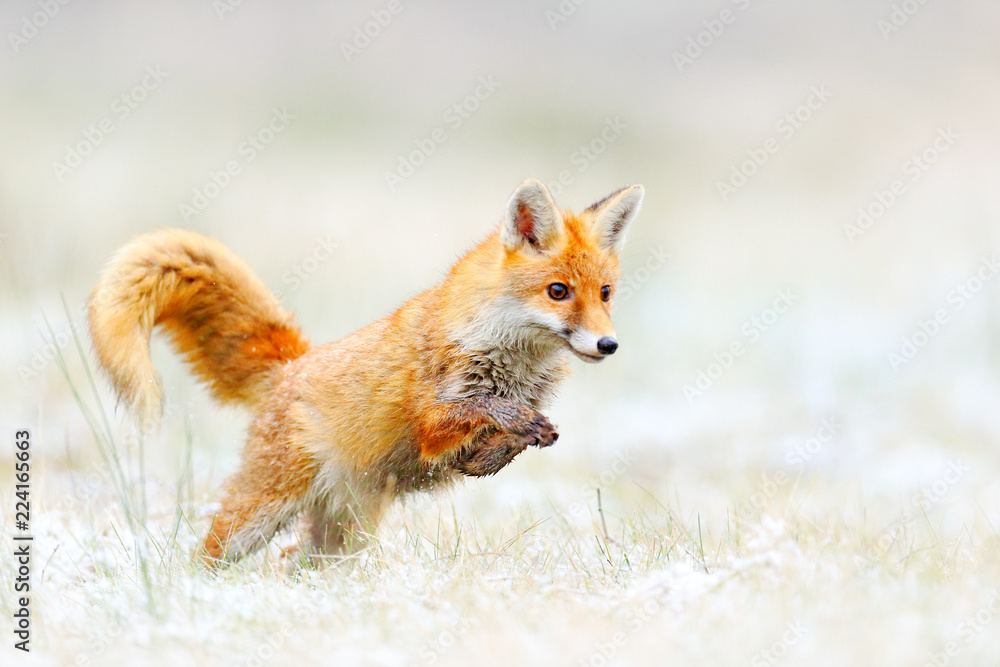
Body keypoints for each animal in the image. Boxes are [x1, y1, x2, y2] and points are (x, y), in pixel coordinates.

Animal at [87, 178, 644, 567]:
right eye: (558, 291)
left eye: (605, 293)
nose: (608, 345)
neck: (512, 359)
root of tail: (293, 364)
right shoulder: (432, 421)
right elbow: (484, 408)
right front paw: (509, 428)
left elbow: (518, 435)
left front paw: (496, 454)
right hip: (260, 514)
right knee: (206, 557)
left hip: (345, 532)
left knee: (295, 562)